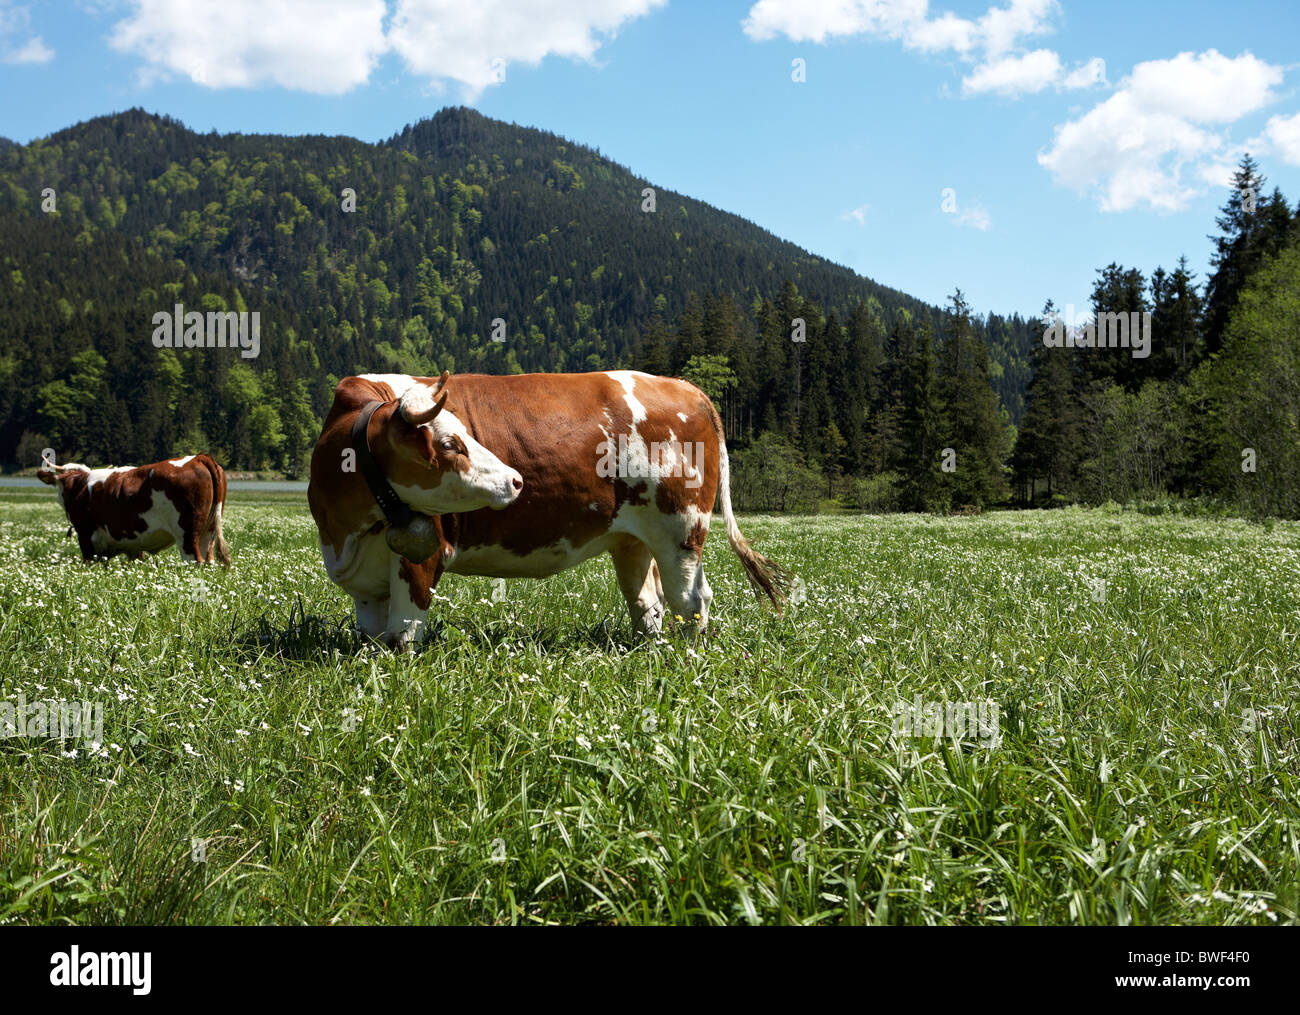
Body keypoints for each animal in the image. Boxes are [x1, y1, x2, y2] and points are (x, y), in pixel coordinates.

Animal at [37, 454, 231, 565]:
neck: (81, 486)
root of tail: (198, 457)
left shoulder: (86, 537)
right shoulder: (133, 546)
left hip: (187, 535)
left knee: (195, 562)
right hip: (208, 532)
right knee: (208, 561)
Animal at [308, 369, 787, 649]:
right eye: (449, 442)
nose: (516, 479)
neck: (347, 534)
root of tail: (685, 386)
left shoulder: (421, 557)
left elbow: (403, 633)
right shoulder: (365, 580)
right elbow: (374, 635)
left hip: (681, 530)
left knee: (691, 598)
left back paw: (688, 655)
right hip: (633, 539)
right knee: (647, 601)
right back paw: (648, 651)